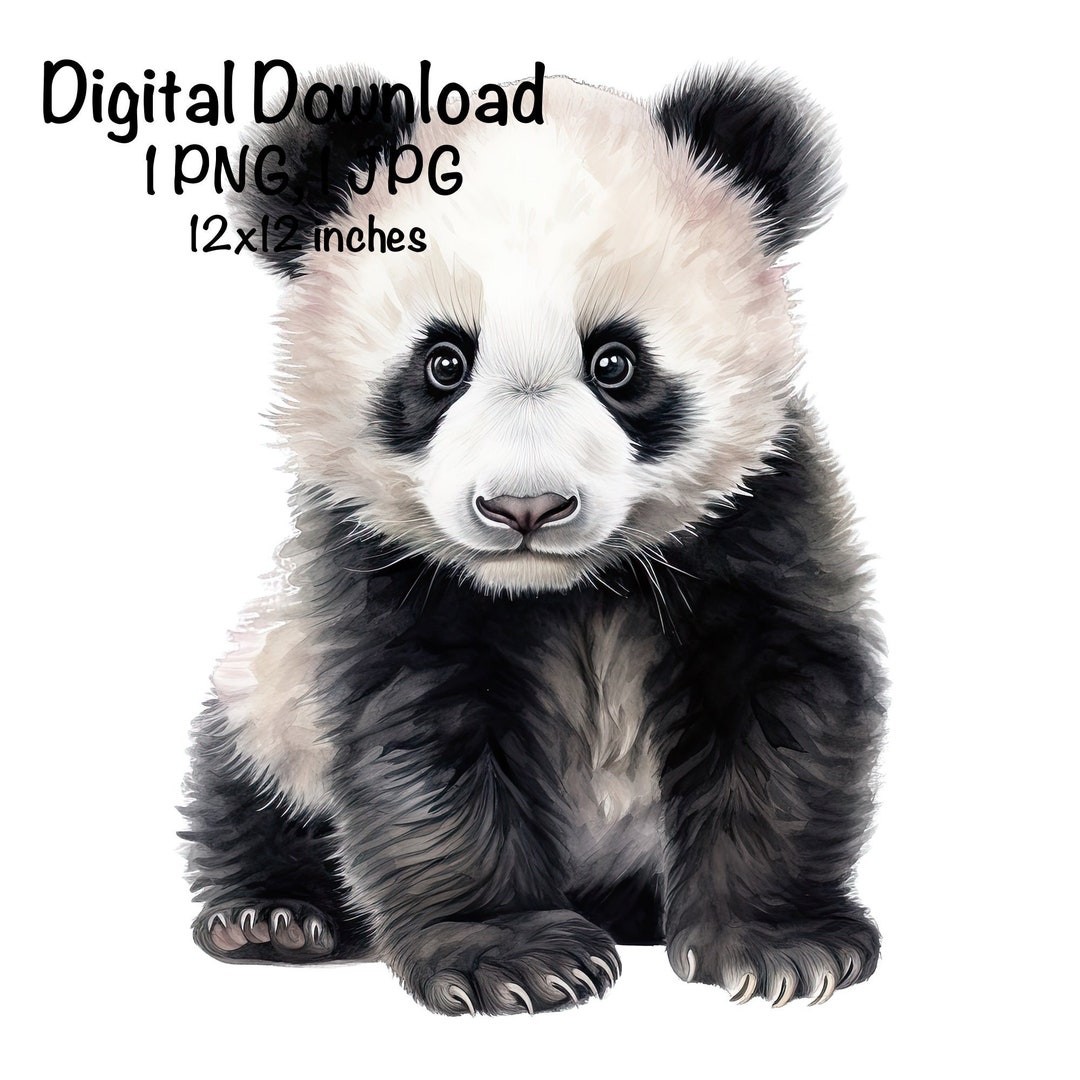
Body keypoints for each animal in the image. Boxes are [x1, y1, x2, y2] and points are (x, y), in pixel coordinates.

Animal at [183, 64, 886, 1016]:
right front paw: (516, 958)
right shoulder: (378, 573)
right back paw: (271, 916)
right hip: (268, 687)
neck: (564, 588)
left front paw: (781, 945)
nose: (527, 507)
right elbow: (420, 742)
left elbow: (780, 707)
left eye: (616, 362)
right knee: (244, 782)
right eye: (443, 362)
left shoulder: (758, 521)